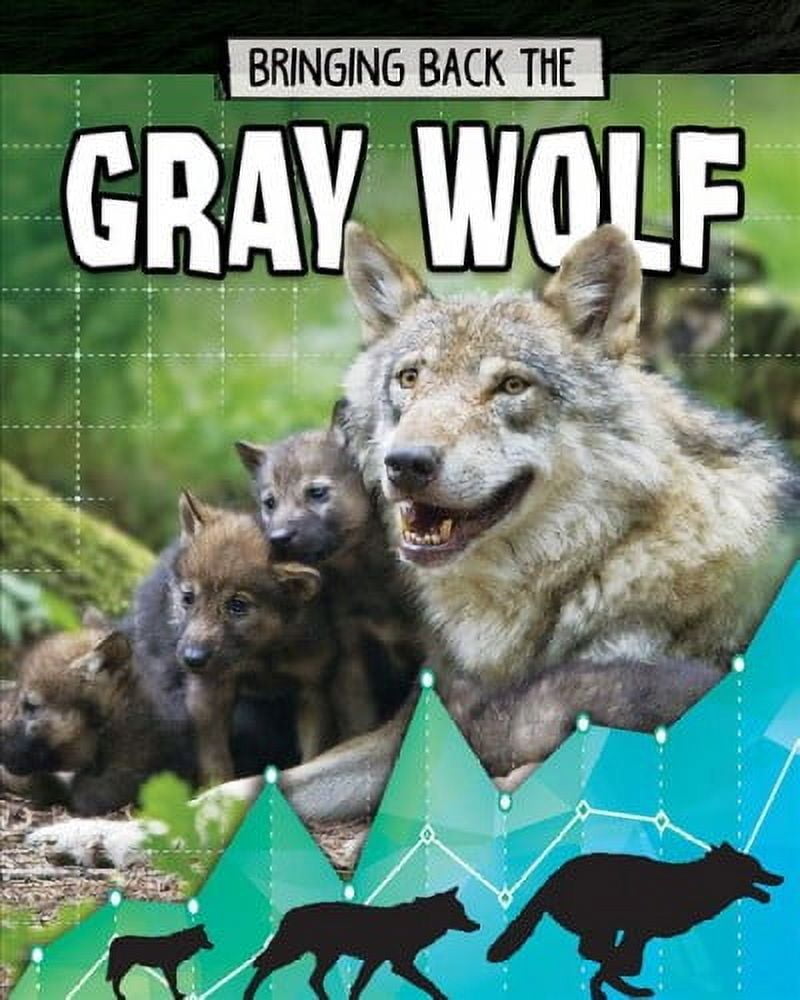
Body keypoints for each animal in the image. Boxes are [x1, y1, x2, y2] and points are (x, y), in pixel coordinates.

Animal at [242, 887, 479, 999]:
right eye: (459, 912)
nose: (477, 925)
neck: (418, 920)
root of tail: (290, 913)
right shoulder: (400, 965)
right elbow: (429, 984)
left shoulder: (374, 961)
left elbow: (357, 986)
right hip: (293, 952)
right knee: (264, 968)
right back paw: (248, 995)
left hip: (328, 957)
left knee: (313, 980)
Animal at [487, 843, 783, 1000]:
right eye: (755, 868)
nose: (780, 878)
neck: (697, 886)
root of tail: (551, 879)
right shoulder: (639, 929)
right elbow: (627, 962)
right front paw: (613, 979)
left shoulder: (640, 933)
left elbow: (624, 963)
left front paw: (610, 983)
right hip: (603, 921)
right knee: (591, 950)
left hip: (603, 926)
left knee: (590, 950)